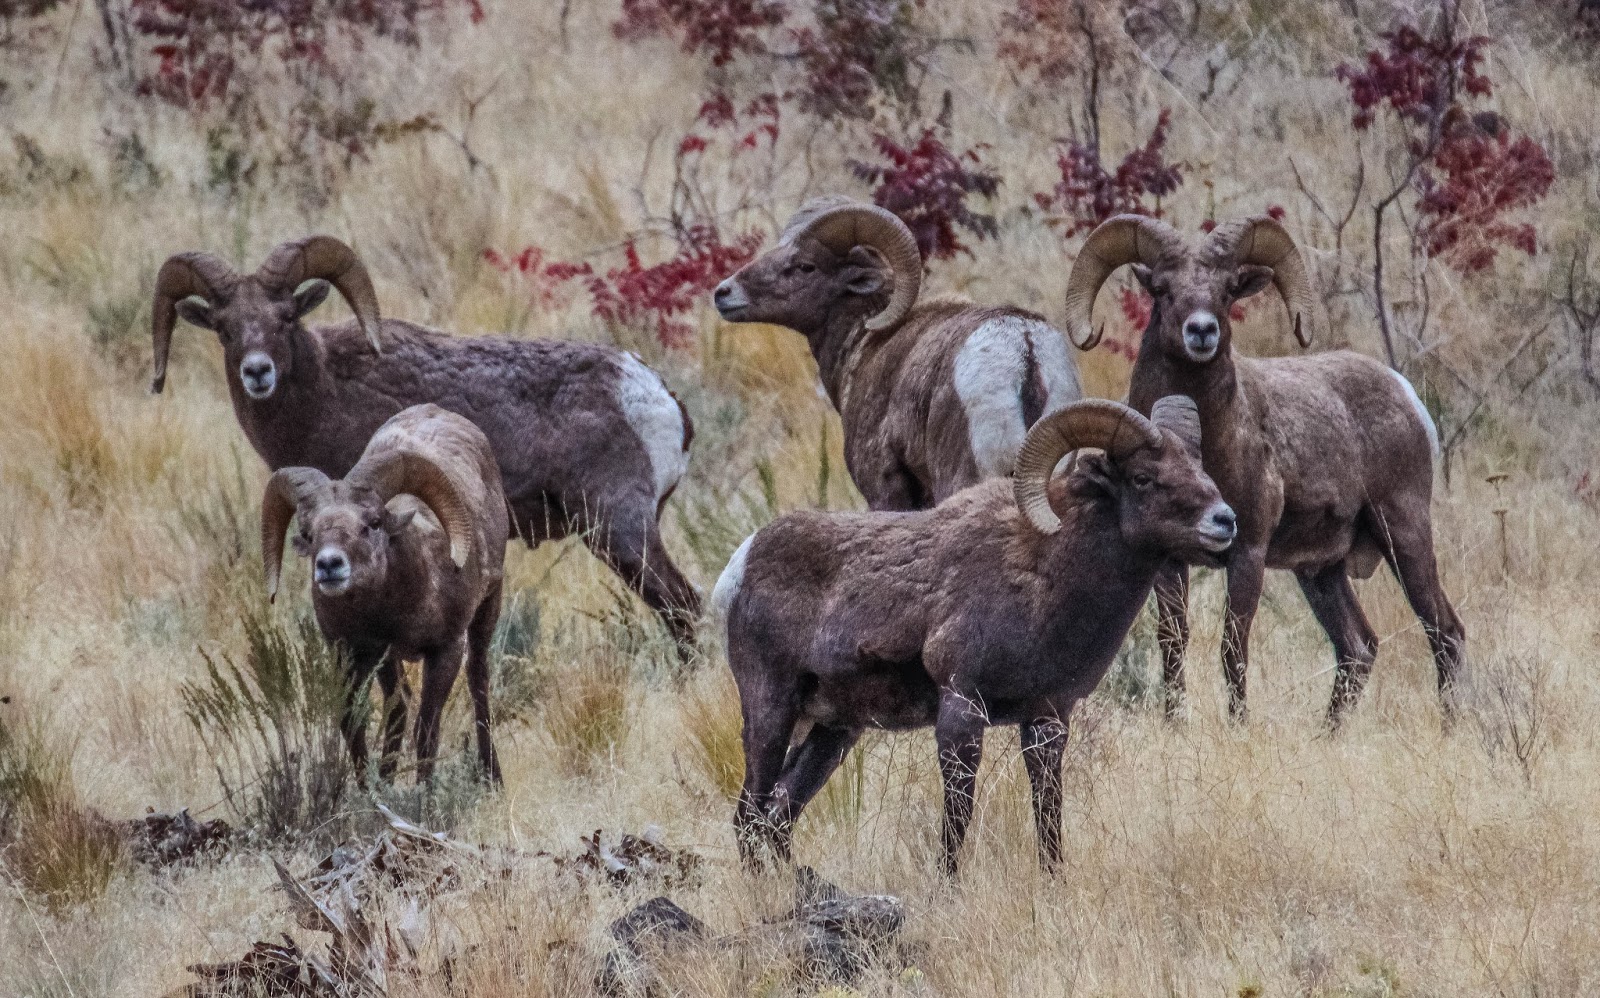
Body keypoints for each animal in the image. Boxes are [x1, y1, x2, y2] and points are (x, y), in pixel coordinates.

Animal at [151, 235, 700, 661]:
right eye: (224, 329)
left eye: (285, 317)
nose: (258, 371)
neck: (326, 393)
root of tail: (655, 393)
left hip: (619, 532)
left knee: (684, 607)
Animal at [261, 403, 507, 784]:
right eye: (309, 532)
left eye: (373, 524)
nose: (329, 565)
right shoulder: (357, 654)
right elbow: (356, 727)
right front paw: (371, 792)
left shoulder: (446, 650)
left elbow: (427, 729)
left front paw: (425, 794)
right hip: (389, 662)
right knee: (399, 710)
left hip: (486, 611)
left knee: (478, 682)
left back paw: (492, 777)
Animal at [713, 197, 1082, 510]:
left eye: (806, 266)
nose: (723, 293)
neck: (862, 342)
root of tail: (1024, 350)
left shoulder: (883, 487)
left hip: (960, 479)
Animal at [716, 396, 1236, 876]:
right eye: (1143, 478)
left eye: (1197, 466)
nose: (1225, 521)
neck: (1046, 579)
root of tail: (740, 565)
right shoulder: (962, 708)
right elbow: (958, 817)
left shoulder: (1048, 720)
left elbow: (1048, 814)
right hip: (772, 711)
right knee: (748, 816)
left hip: (834, 732)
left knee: (778, 814)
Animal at [1061, 213, 1466, 723]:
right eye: (1164, 289)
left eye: (1227, 292)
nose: (1201, 331)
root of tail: (1406, 395)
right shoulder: (1169, 560)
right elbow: (1173, 642)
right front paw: (1175, 722)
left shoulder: (1248, 550)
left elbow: (1233, 648)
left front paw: (1238, 725)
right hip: (1321, 571)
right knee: (1358, 647)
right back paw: (1327, 734)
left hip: (1404, 534)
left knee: (1445, 632)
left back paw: (1449, 727)